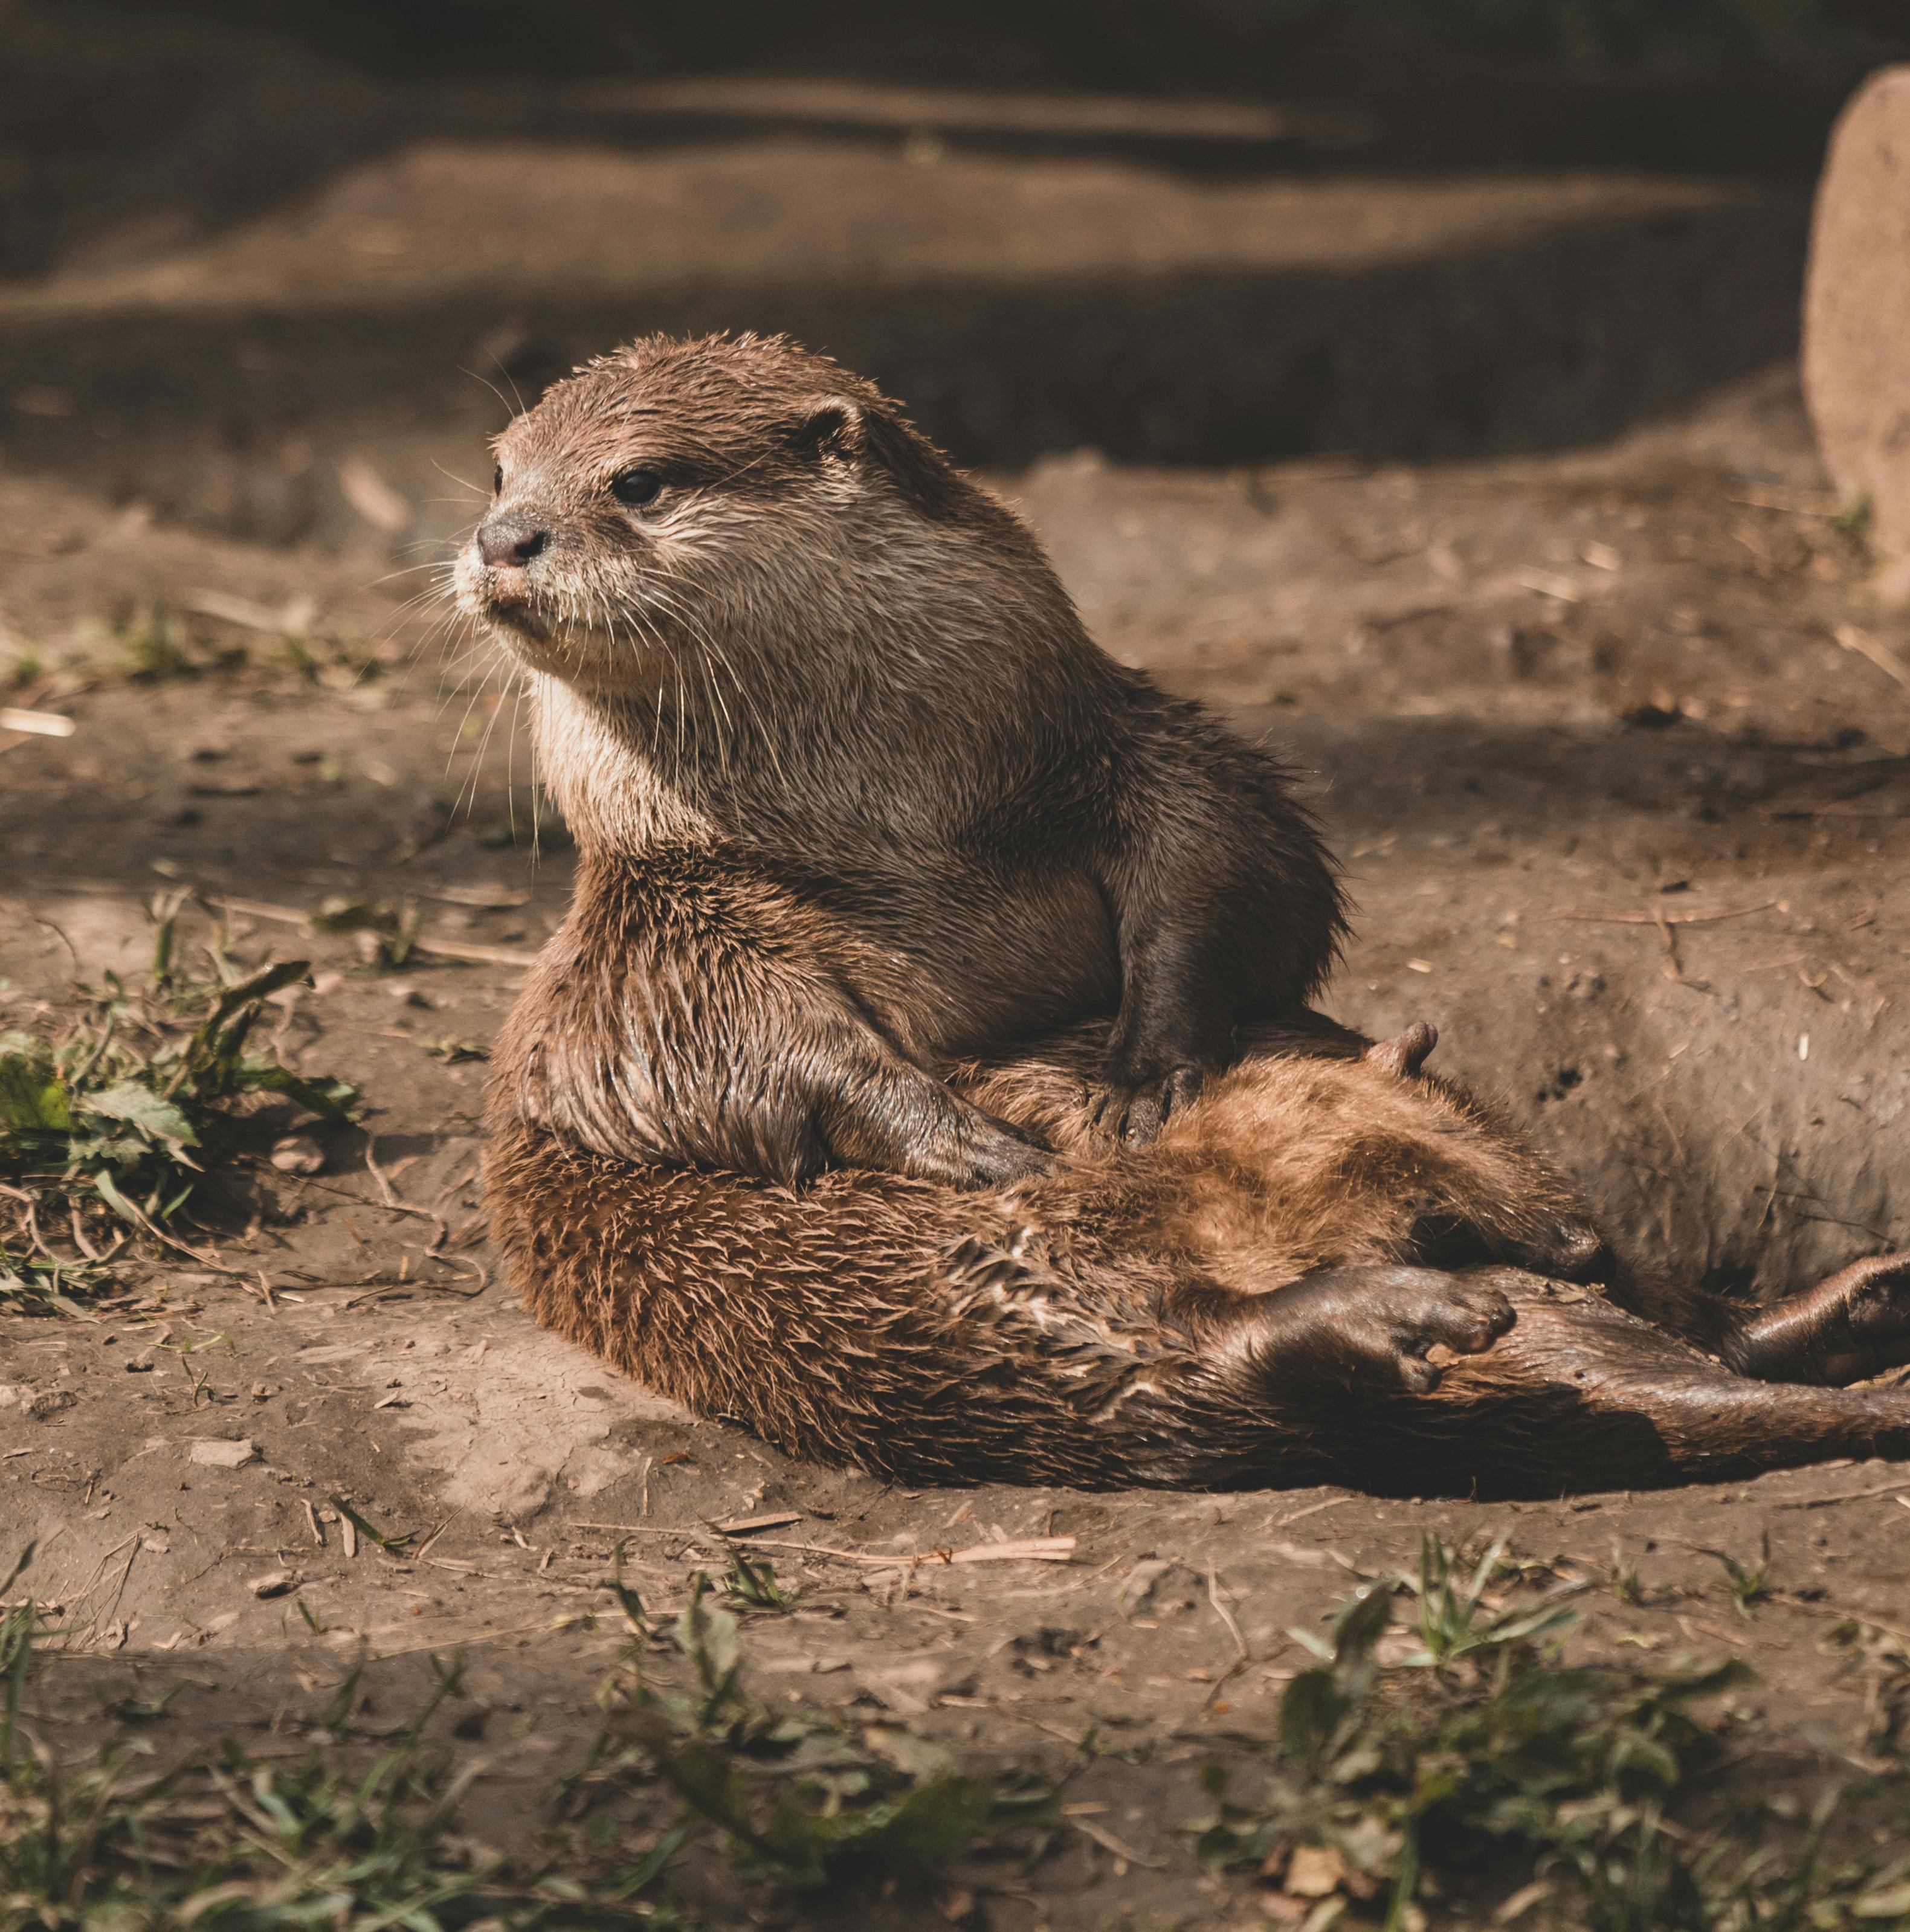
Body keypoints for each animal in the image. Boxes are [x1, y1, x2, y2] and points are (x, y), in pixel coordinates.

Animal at [465, 333, 1910, 1495]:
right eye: (497, 473)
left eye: (636, 481)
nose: (500, 540)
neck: (891, 833)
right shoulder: (658, 924)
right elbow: (703, 1049)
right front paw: (966, 1139)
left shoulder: (1125, 754)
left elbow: (1233, 873)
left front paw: (1149, 1067)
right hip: (841, 1284)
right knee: (1160, 1358)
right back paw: (1389, 1320)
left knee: (1612, 1272)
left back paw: (1821, 1312)